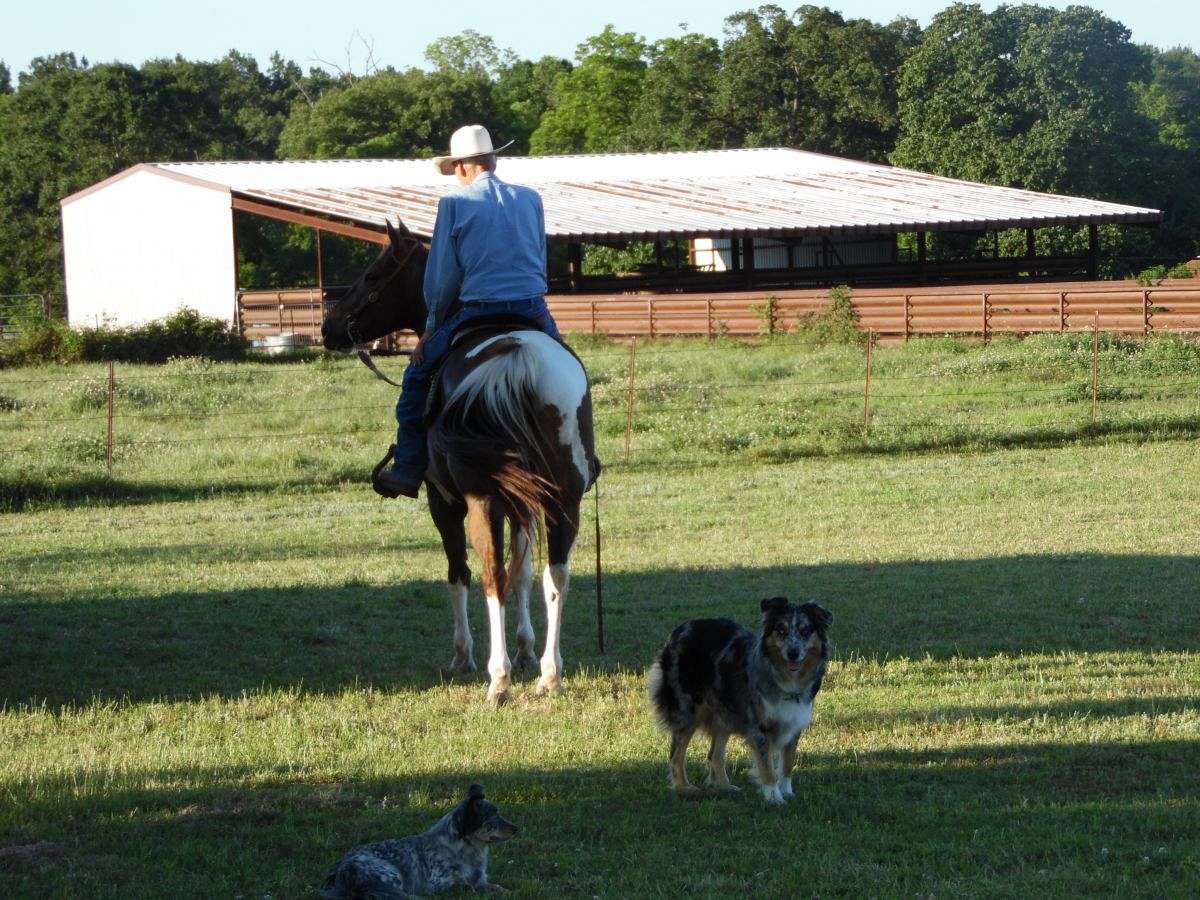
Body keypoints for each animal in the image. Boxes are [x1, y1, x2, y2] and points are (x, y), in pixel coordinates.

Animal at [321, 219, 599, 706]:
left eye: (373, 275)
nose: (328, 326)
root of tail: (517, 354)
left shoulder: (444, 499)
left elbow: (459, 573)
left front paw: (463, 655)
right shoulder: (520, 500)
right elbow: (524, 571)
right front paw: (526, 648)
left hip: (480, 499)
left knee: (489, 574)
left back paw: (497, 678)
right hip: (563, 498)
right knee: (555, 576)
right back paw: (549, 674)